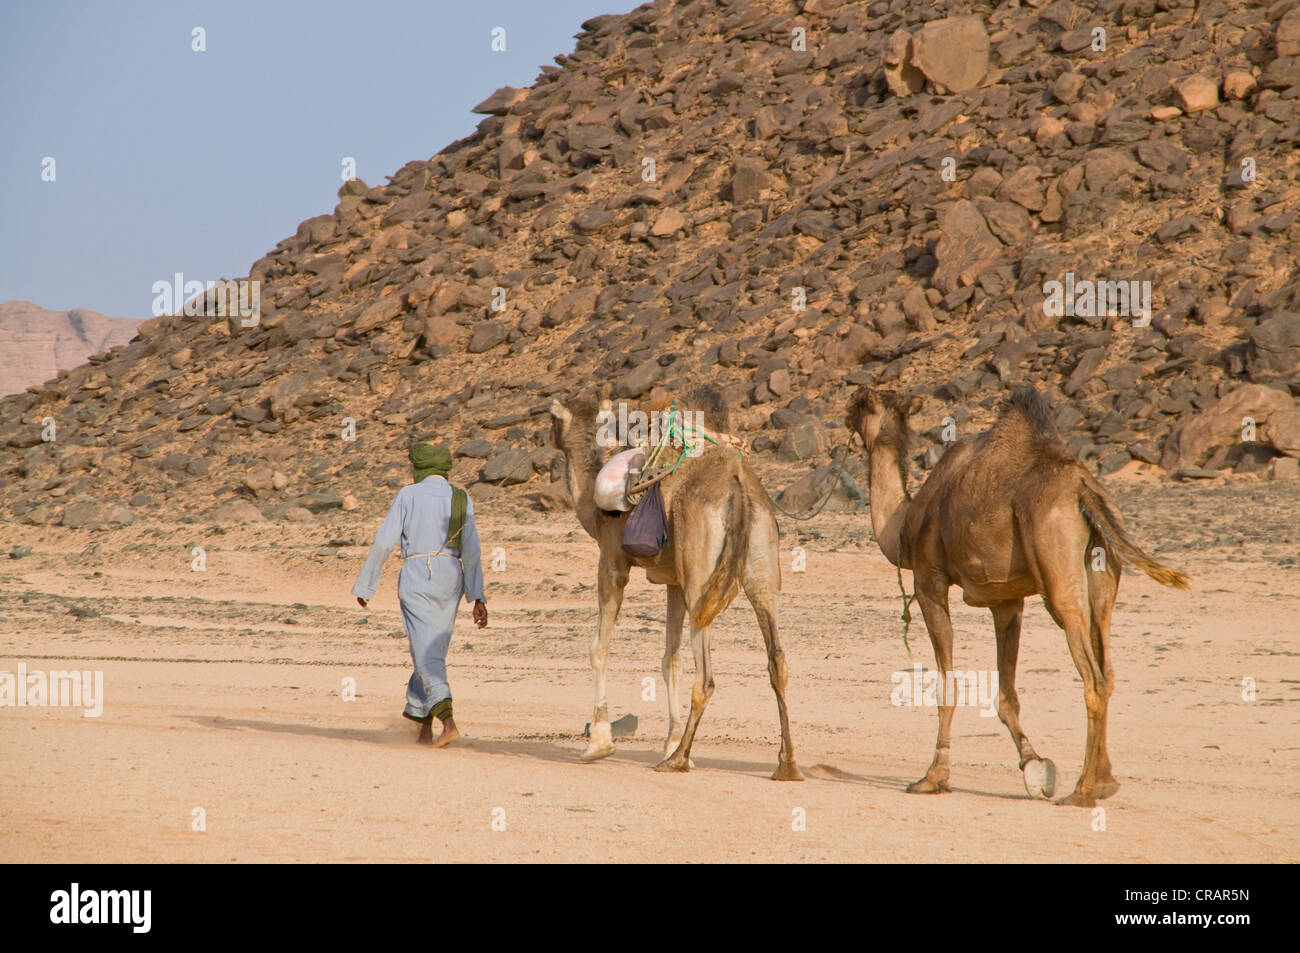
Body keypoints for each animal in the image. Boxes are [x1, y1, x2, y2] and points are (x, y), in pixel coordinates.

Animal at [549, 388, 801, 781]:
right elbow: (671, 659)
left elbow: (598, 648)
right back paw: (786, 764)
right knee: (777, 660)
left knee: (708, 677)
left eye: (551, 419)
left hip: (702, 574)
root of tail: (738, 487)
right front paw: (666, 740)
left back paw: (679, 759)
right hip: (761, 560)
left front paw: (599, 744)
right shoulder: (675, 584)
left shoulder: (612, 563)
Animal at [846, 385, 1188, 806]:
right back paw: (1105, 781)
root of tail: (1082, 490)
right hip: (1103, 570)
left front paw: (932, 778)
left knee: (1091, 676)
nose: (847, 409)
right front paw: (1034, 766)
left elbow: (947, 685)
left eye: (864, 403)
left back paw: (1082, 791)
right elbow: (1006, 694)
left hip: (1056, 569)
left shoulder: (929, 580)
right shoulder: (1006, 600)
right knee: (1106, 669)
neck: (902, 523)